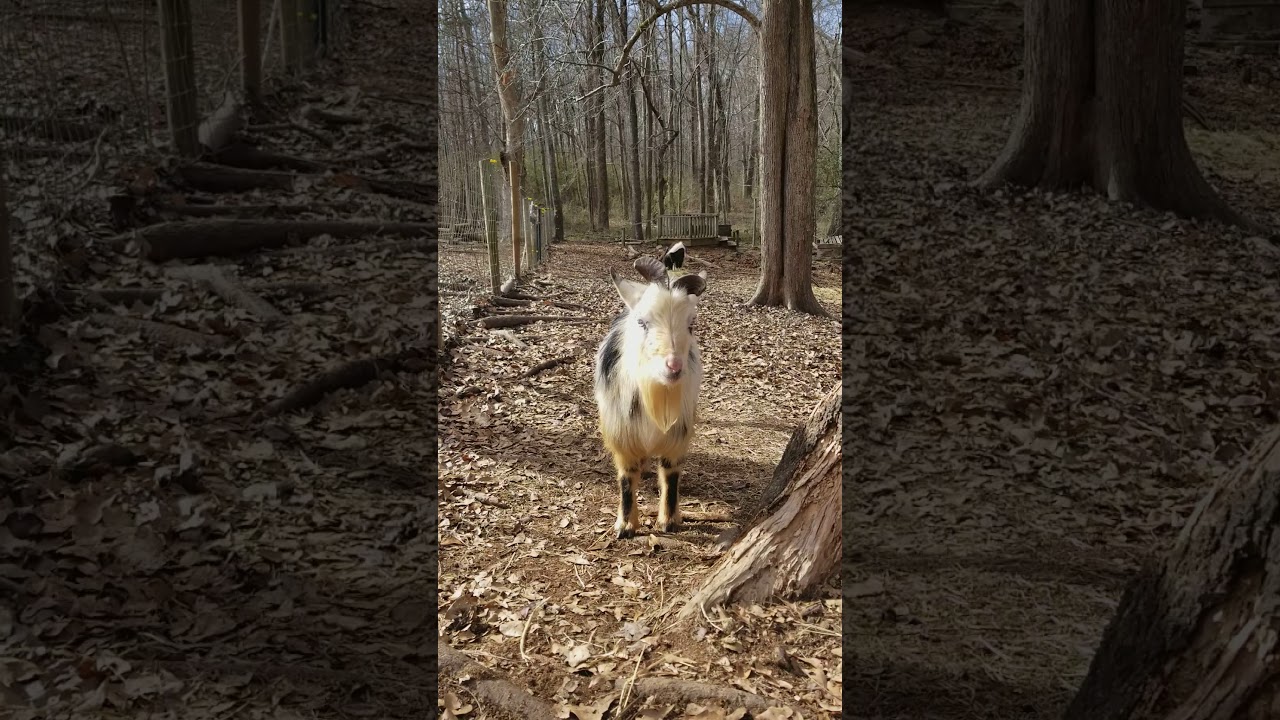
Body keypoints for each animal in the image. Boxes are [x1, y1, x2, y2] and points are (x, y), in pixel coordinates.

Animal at [594, 257, 708, 539]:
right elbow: (626, 478)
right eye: (642, 322)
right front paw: (625, 526)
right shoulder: (622, 434)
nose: (674, 367)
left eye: (691, 324)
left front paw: (669, 521)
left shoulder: (678, 435)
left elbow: (670, 476)